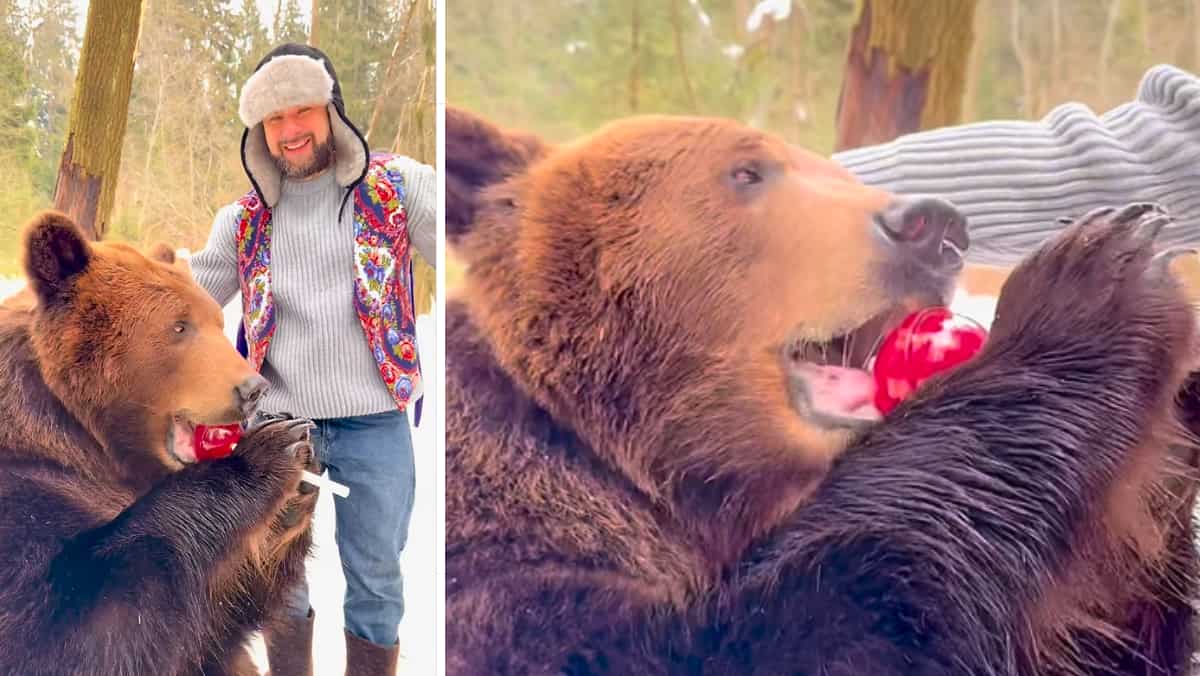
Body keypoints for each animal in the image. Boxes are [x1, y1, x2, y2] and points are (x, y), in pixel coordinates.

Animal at [0, 210, 321, 676]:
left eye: (217, 321)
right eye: (179, 326)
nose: (253, 389)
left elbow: (213, 622)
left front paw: (296, 484)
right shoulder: (26, 493)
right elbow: (74, 632)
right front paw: (265, 452)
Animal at [444, 106, 1200, 675]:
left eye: (838, 169)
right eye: (747, 170)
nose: (935, 225)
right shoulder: (505, 548)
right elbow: (812, 619)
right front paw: (1099, 278)